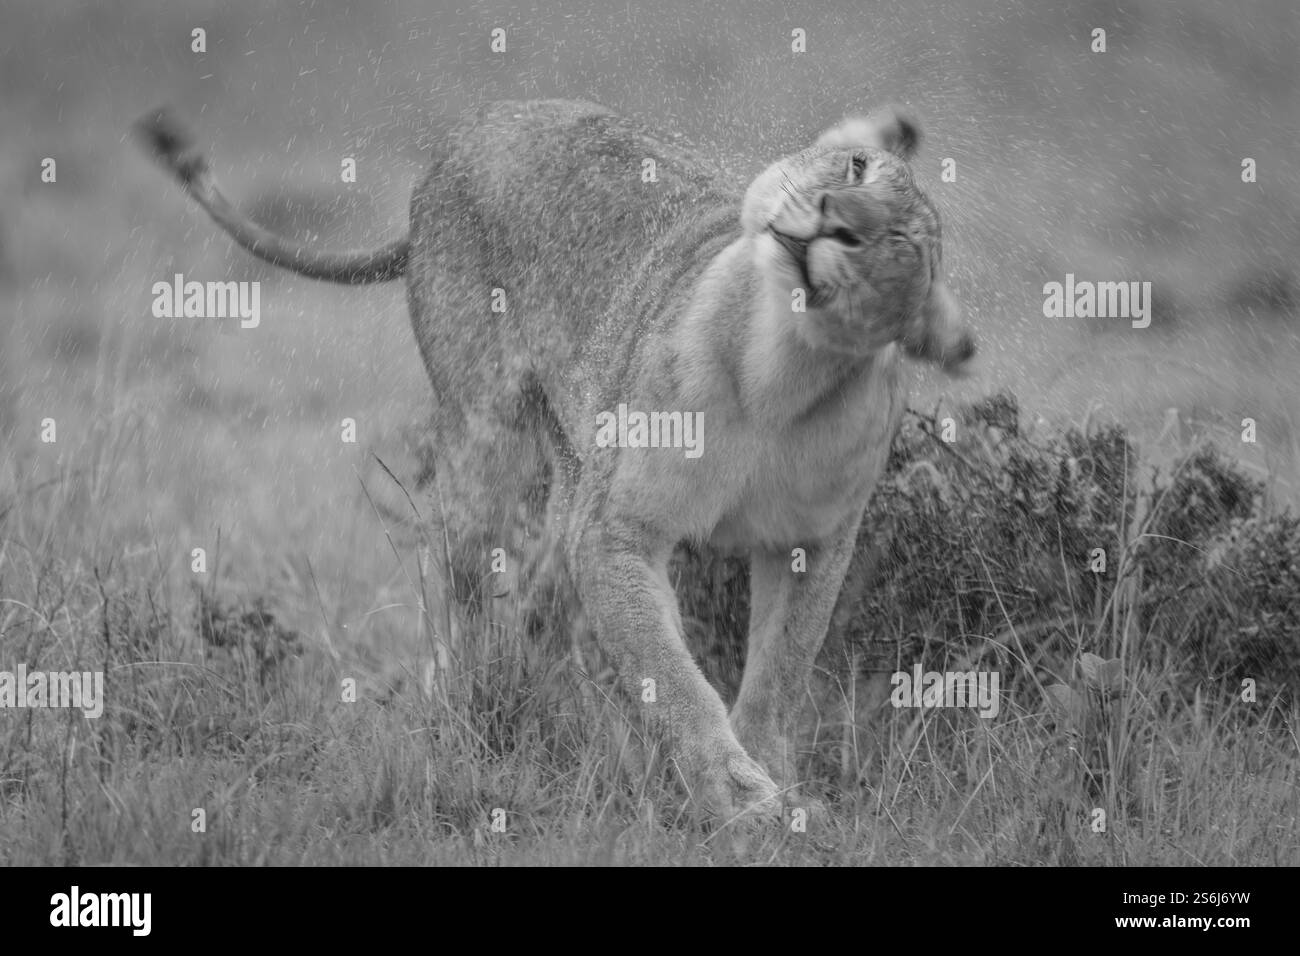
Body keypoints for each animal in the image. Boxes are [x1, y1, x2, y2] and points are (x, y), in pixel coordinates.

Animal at [134, 99, 974, 821]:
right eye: (858, 166)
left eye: (902, 245)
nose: (838, 220)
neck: (780, 370)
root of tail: (474, 130)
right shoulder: (617, 531)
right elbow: (674, 674)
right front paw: (739, 796)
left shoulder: (812, 545)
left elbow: (778, 669)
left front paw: (775, 784)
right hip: (486, 439)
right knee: (465, 594)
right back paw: (464, 715)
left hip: (570, 478)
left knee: (539, 605)